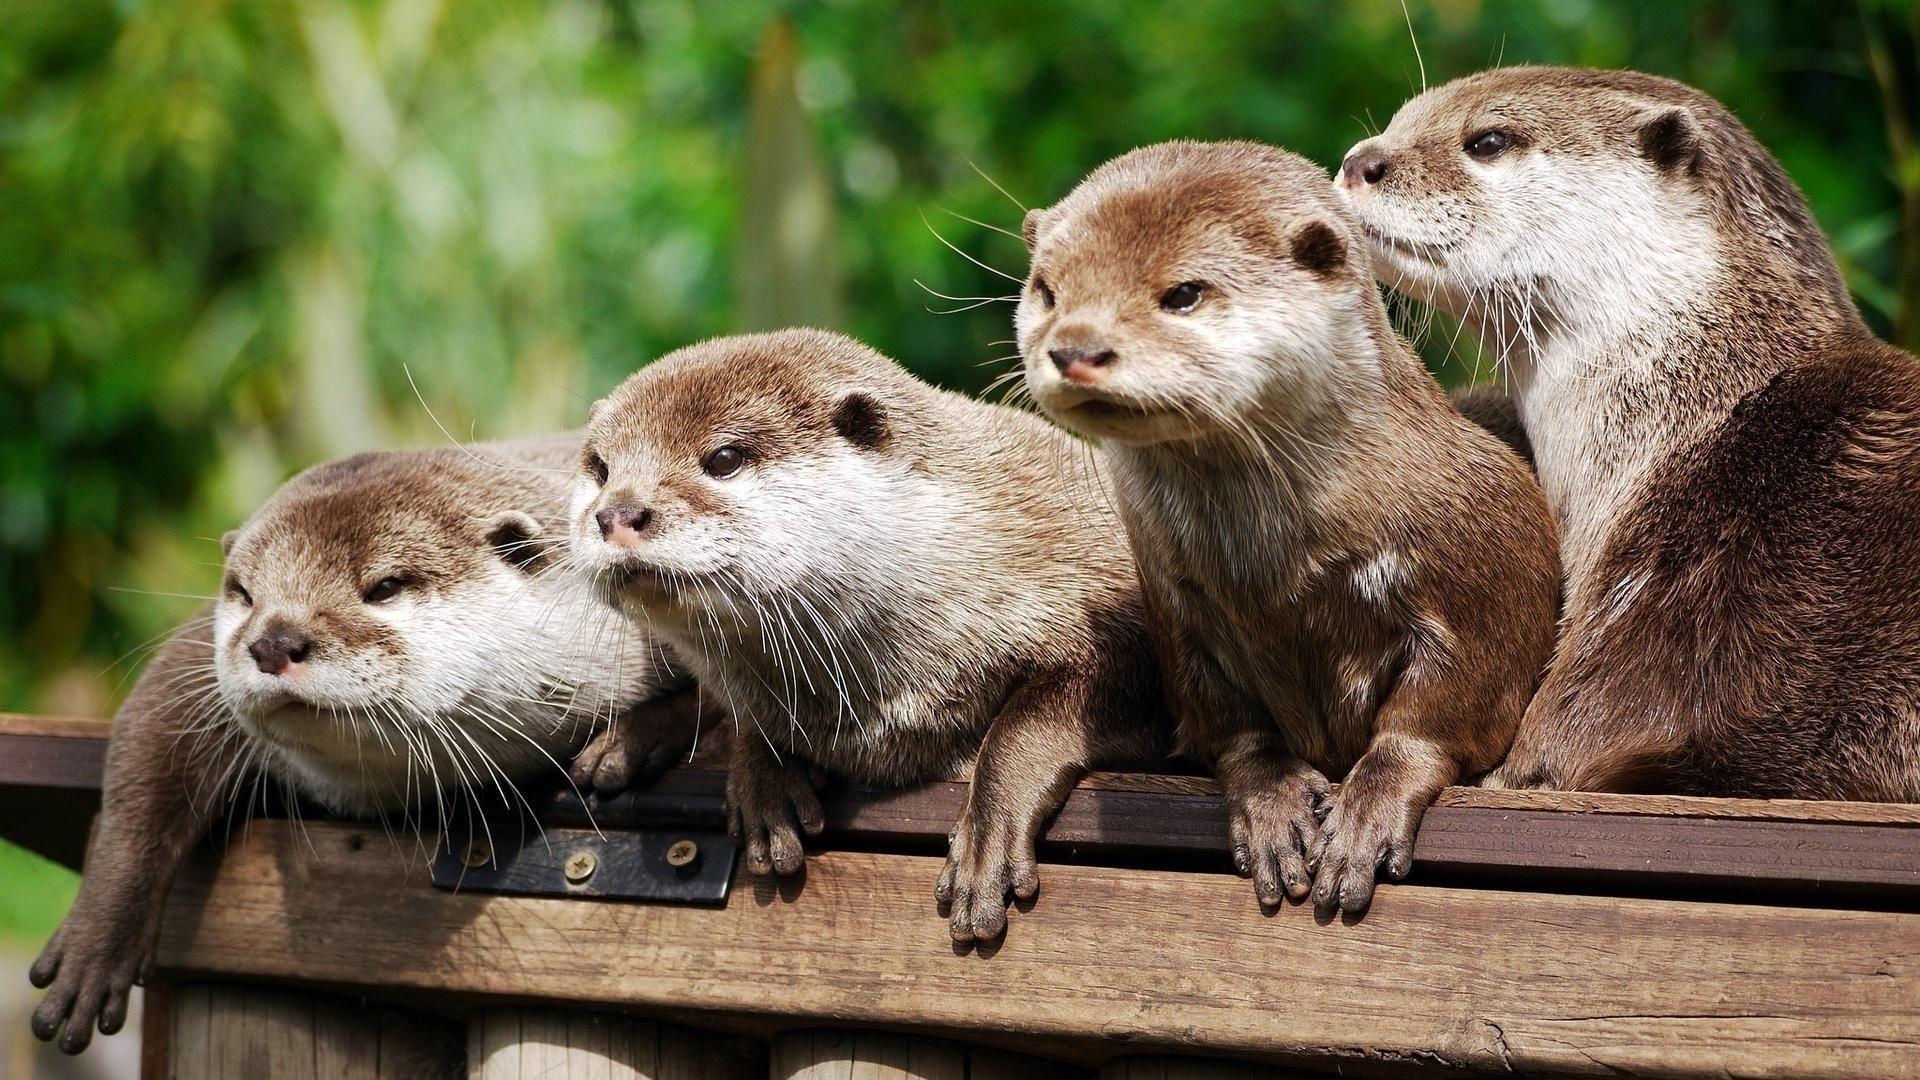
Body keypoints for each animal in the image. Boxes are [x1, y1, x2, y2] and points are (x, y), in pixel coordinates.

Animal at [30, 438, 690, 1054]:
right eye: (244, 593)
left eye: (385, 586)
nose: (273, 641)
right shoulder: (194, 664)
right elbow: (148, 753)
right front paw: (94, 946)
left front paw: (627, 743)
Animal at [569, 328, 1167, 942]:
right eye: (601, 468)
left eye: (725, 458)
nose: (617, 513)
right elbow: (744, 714)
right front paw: (764, 781)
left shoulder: (1109, 603)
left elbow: (1029, 723)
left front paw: (985, 838)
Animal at [1015, 141, 1559, 914]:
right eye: (1048, 290)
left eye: (1184, 293)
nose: (1076, 349)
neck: (1277, 575)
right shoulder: (1175, 602)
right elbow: (1226, 721)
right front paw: (1270, 802)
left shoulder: (1488, 572)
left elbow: (1440, 714)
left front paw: (1367, 810)